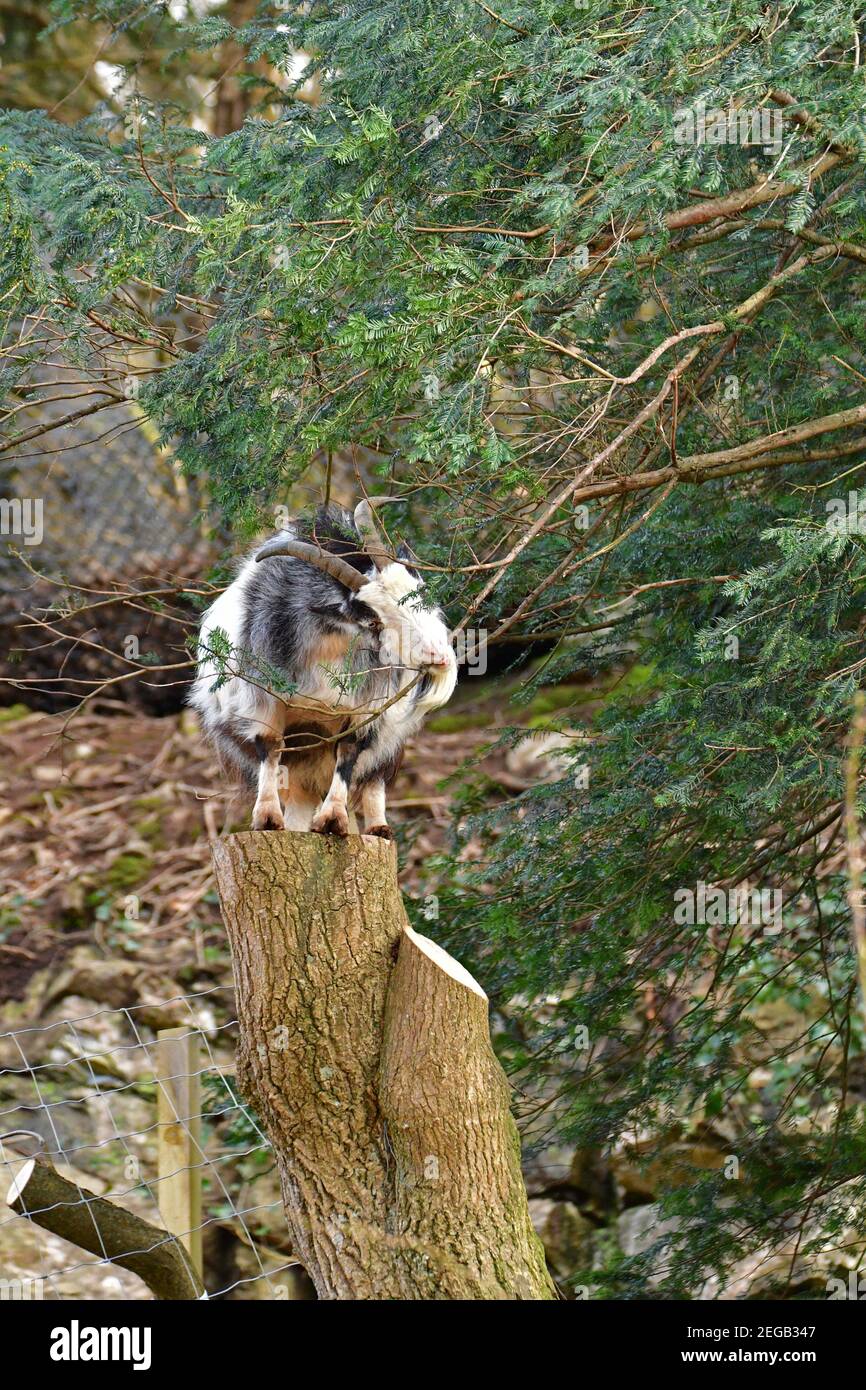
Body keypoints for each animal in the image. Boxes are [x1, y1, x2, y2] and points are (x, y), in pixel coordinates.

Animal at [189, 500, 458, 834]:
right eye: (373, 621)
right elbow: (270, 746)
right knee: (300, 792)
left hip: (388, 739)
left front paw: (332, 819)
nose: (439, 655)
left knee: (373, 777)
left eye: (419, 596)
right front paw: (267, 818)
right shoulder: (263, 699)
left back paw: (378, 828)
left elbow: (348, 751)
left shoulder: (365, 709)